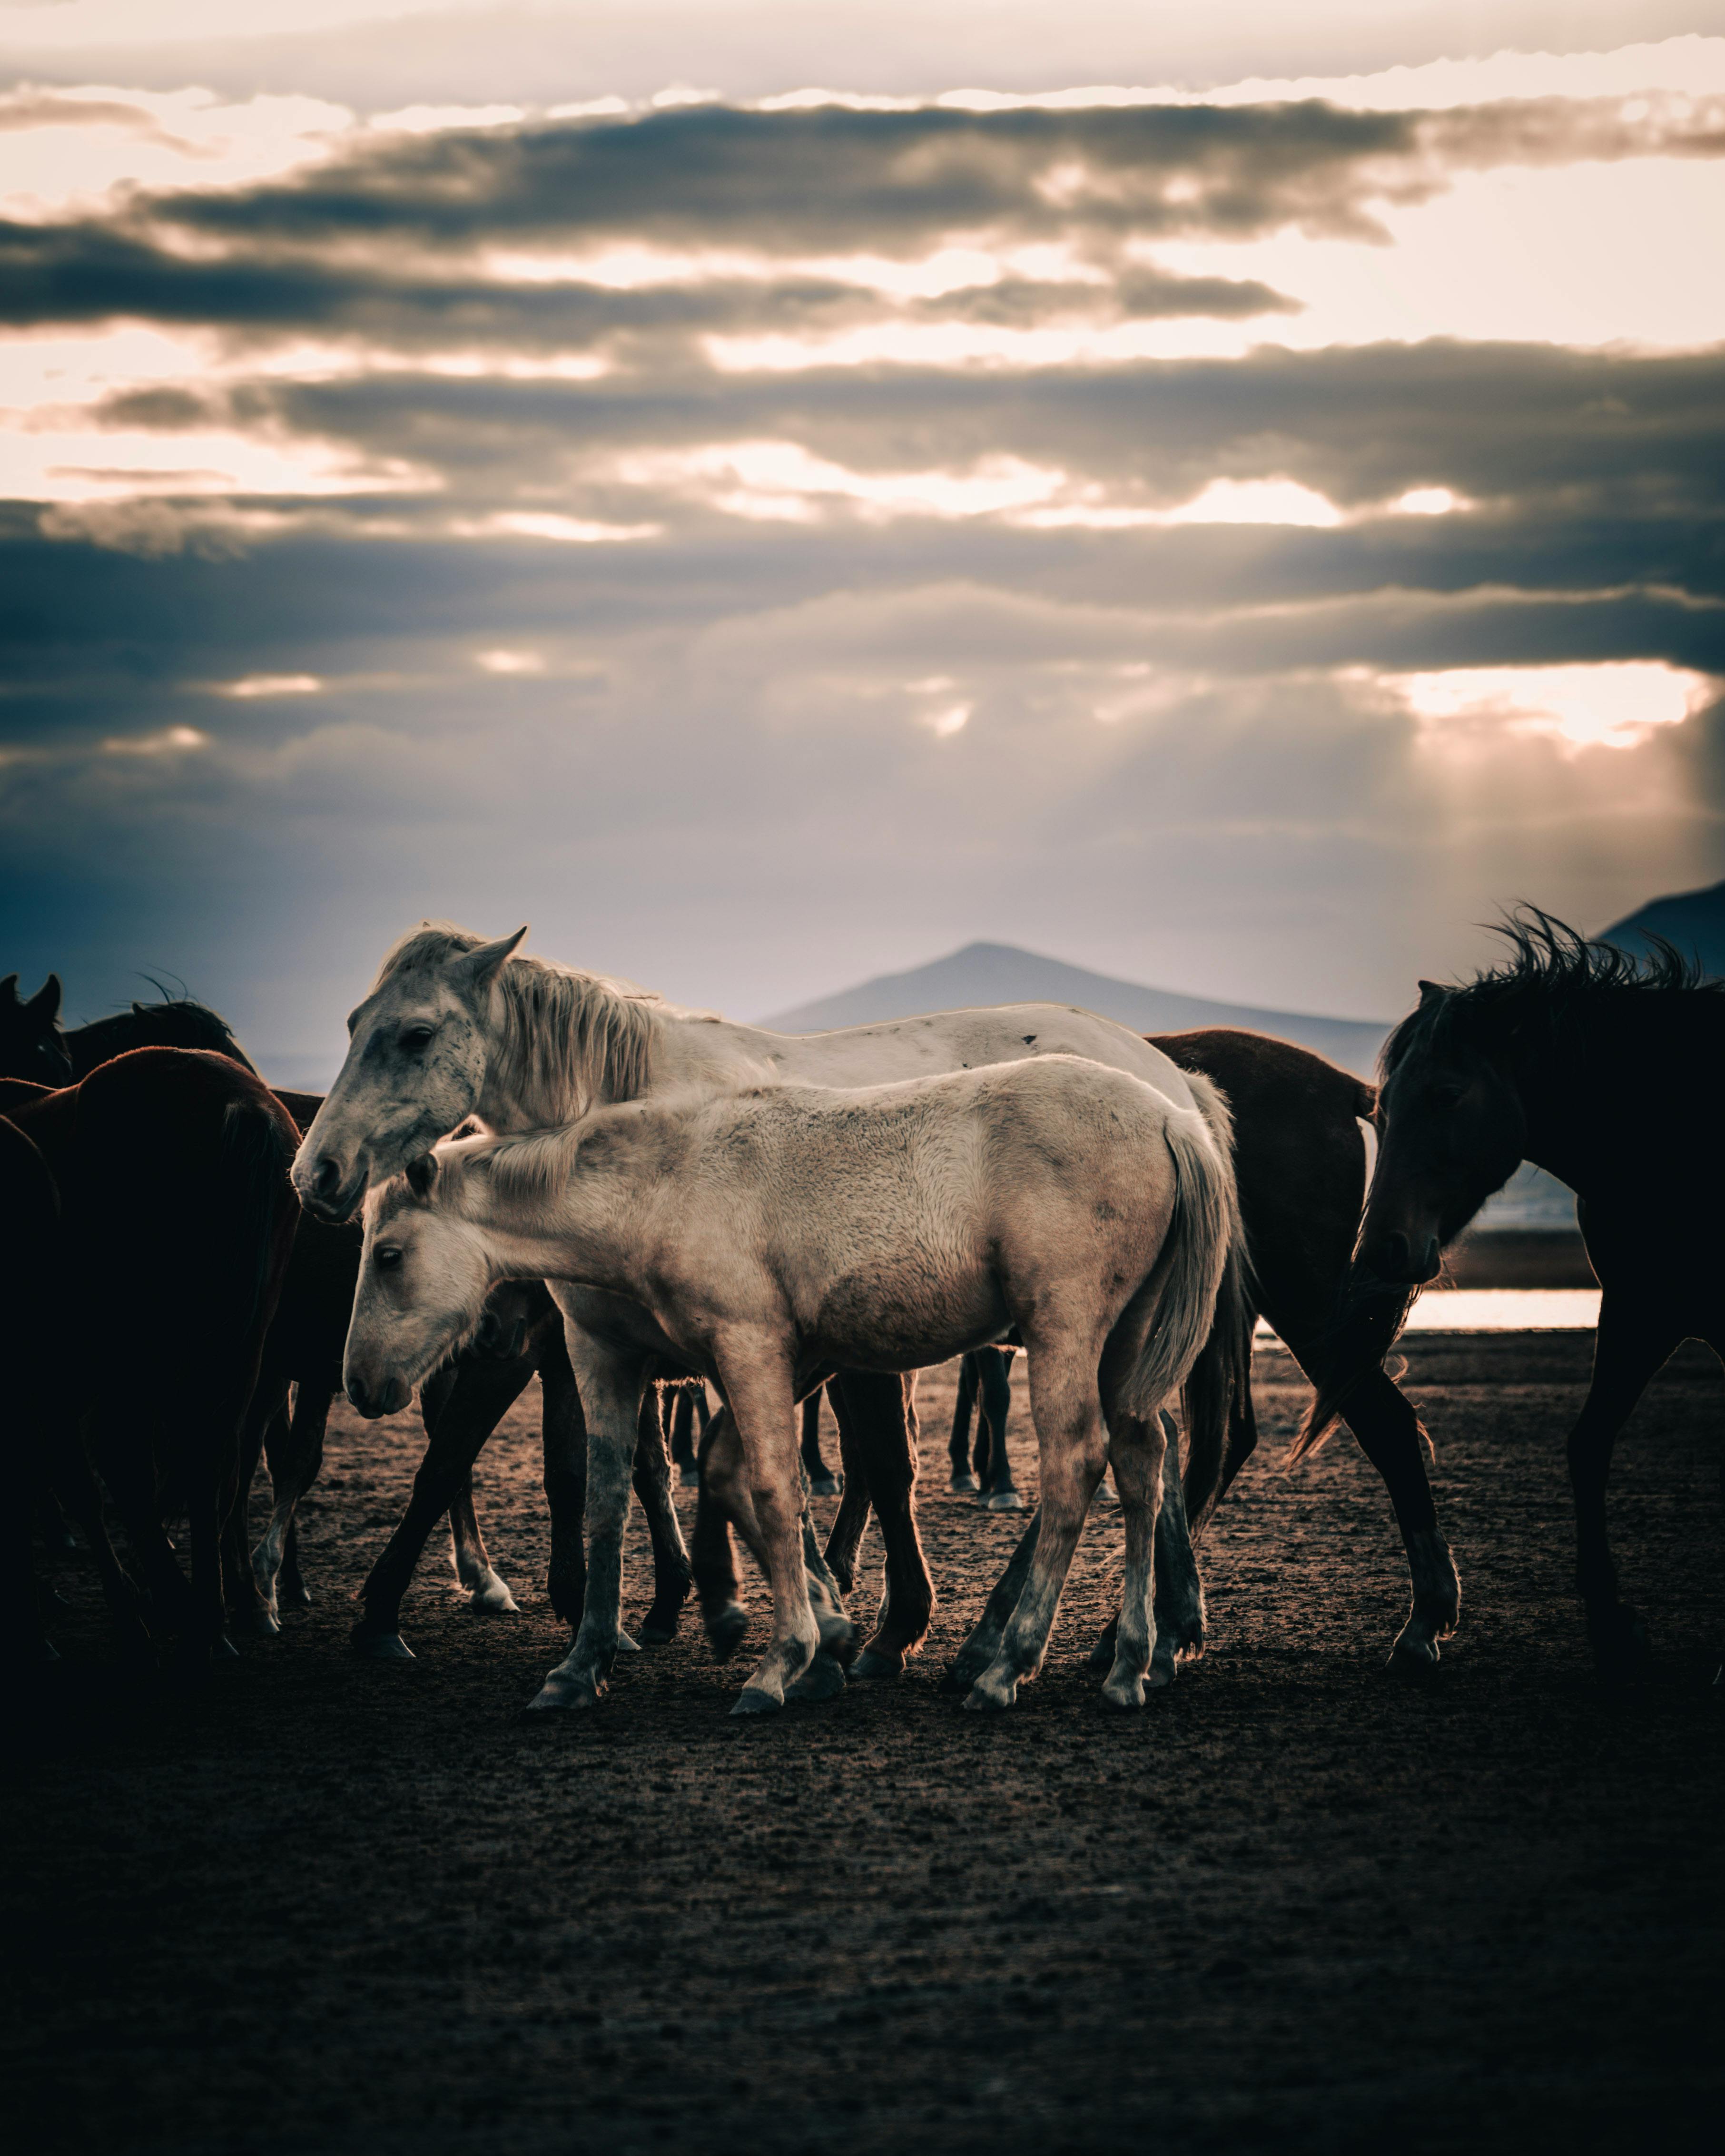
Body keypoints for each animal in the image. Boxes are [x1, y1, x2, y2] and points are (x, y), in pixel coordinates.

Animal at [294, 921, 1248, 1706]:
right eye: (350, 1023)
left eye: (414, 1034)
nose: (318, 1173)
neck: (659, 1168)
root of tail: (1172, 1106)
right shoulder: (614, 1351)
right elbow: (620, 1489)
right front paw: (595, 1657)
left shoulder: (752, 1345)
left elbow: (766, 1478)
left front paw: (786, 1642)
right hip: (1125, 1338)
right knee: (1144, 1455)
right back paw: (1133, 1656)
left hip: (1064, 1329)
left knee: (1078, 1460)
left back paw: (1007, 1657)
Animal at [1312, 911, 1725, 1681]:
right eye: (1379, 1112)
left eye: (1446, 1094)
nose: (1381, 1249)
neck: (1670, 1129)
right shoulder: (1639, 1306)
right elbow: (1587, 1444)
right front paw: (1611, 1625)